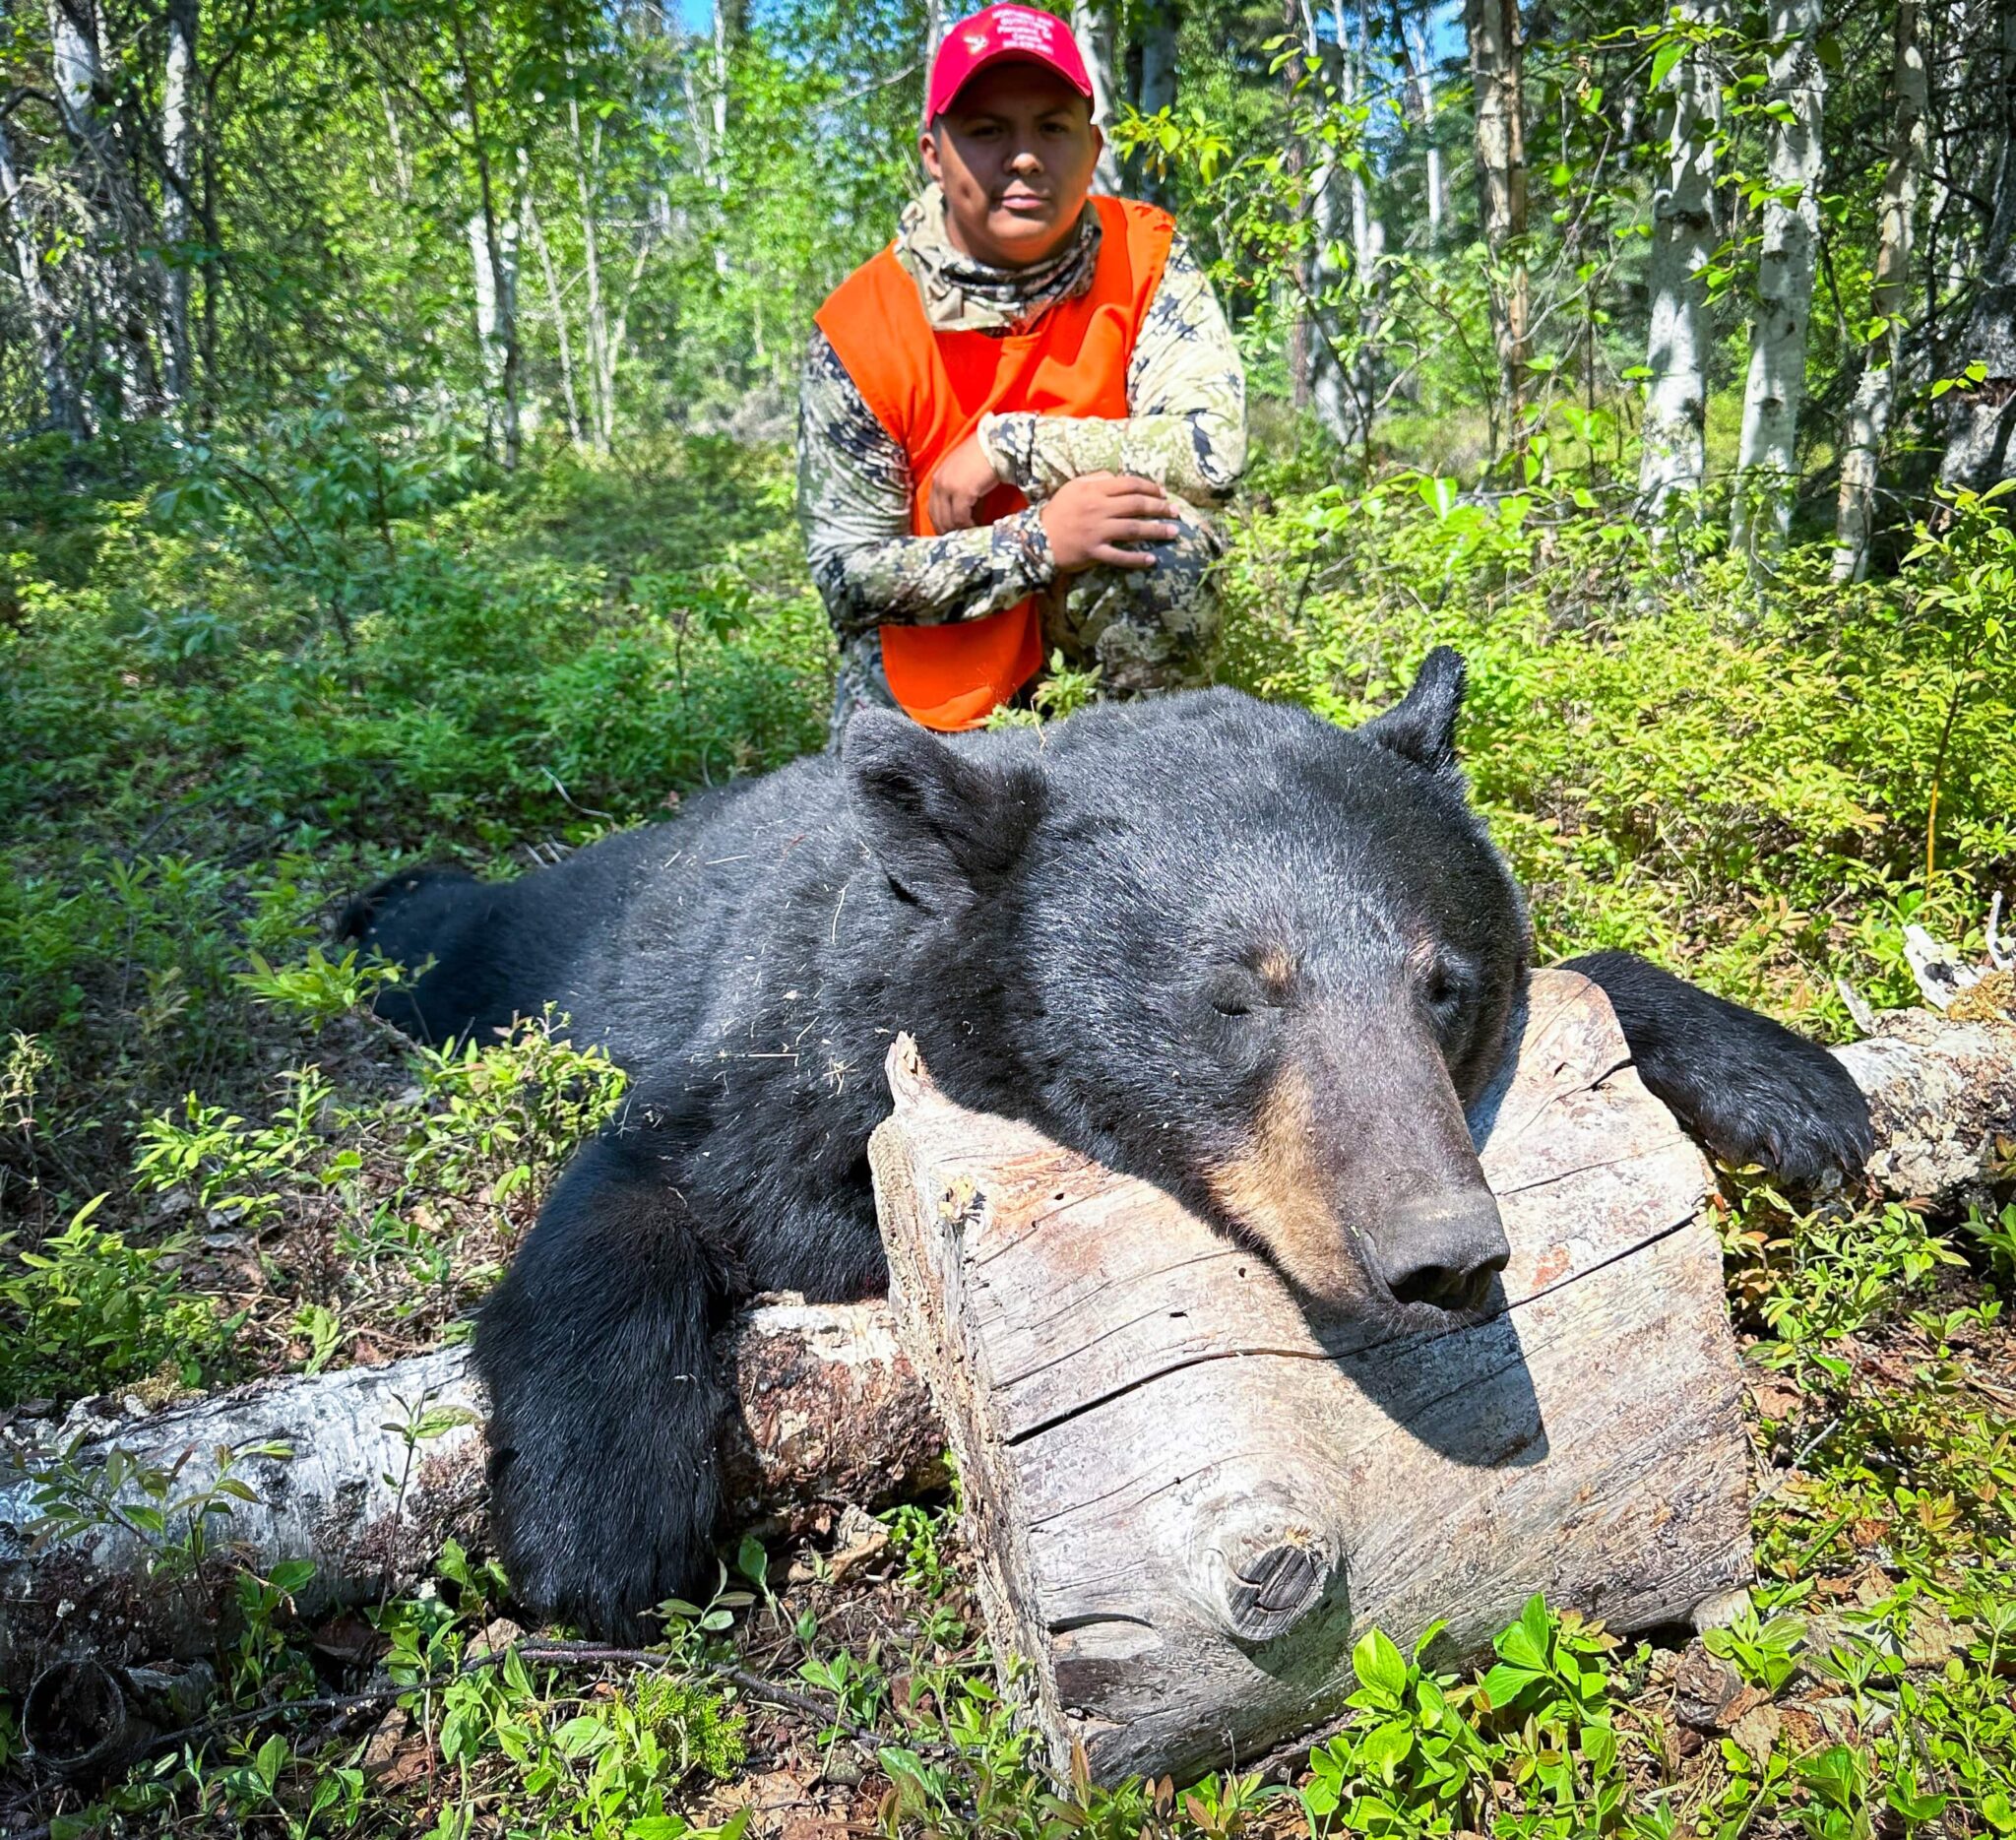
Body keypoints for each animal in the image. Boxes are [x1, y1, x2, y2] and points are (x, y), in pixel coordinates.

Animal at [343, 649, 1872, 1639]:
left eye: (1442, 984)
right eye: (1236, 994)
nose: (1442, 1255)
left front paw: (1792, 1082)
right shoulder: (791, 1061)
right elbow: (655, 1186)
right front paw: (595, 1523)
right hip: (540, 951)